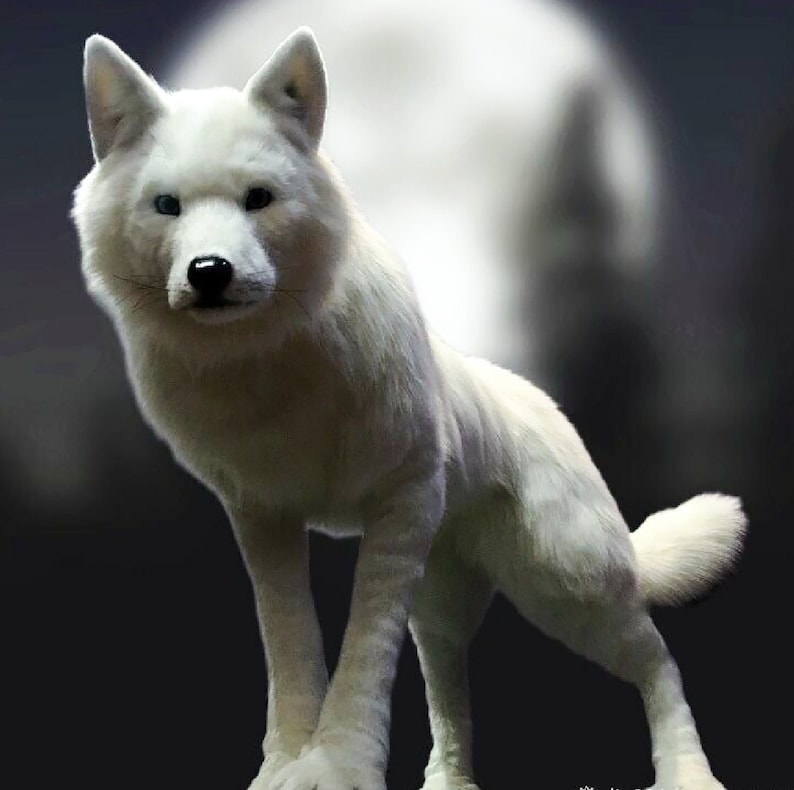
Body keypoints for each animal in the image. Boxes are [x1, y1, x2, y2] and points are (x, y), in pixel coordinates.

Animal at [72, 28, 746, 790]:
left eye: (258, 199)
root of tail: (549, 407)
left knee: (659, 660)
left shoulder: (400, 503)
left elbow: (364, 651)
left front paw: (336, 767)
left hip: (569, 588)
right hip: (446, 609)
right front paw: (284, 765)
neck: (268, 375)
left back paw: (689, 775)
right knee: (450, 691)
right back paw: (450, 783)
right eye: (167, 206)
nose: (209, 272)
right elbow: (290, 644)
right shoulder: (262, 517)